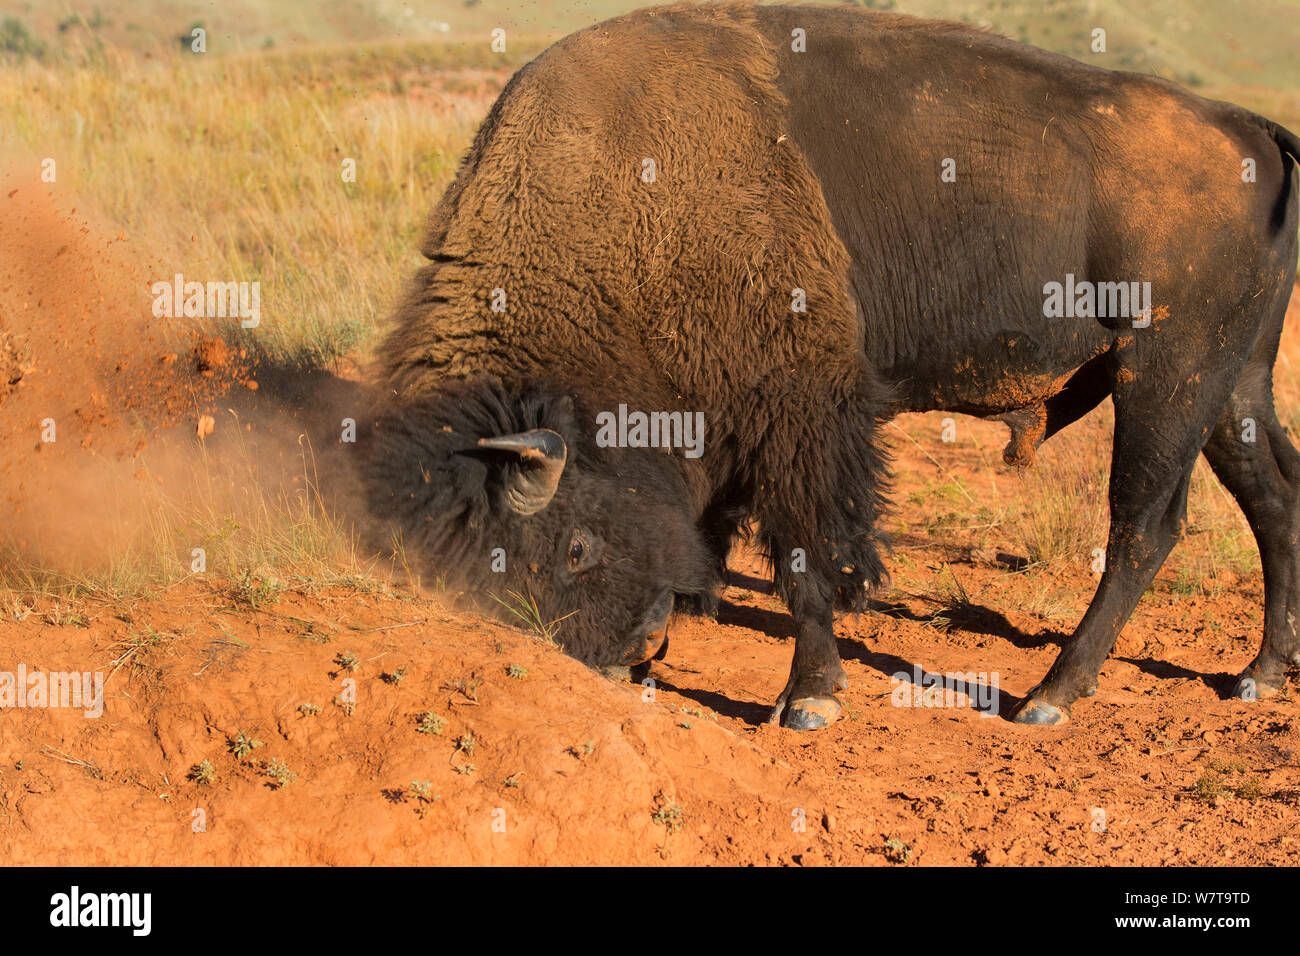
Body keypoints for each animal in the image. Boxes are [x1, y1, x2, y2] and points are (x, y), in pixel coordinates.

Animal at [363, 1, 1300, 729]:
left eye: (576, 547)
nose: (620, 654)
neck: (621, 192)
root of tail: (1244, 125)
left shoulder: (798, 410)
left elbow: (806, 550)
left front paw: (808, 699)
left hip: (1166, 375)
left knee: (1145, 525)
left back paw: (1049, 697)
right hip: (1234, 386)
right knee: (1273, 498)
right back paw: (1259, 674)